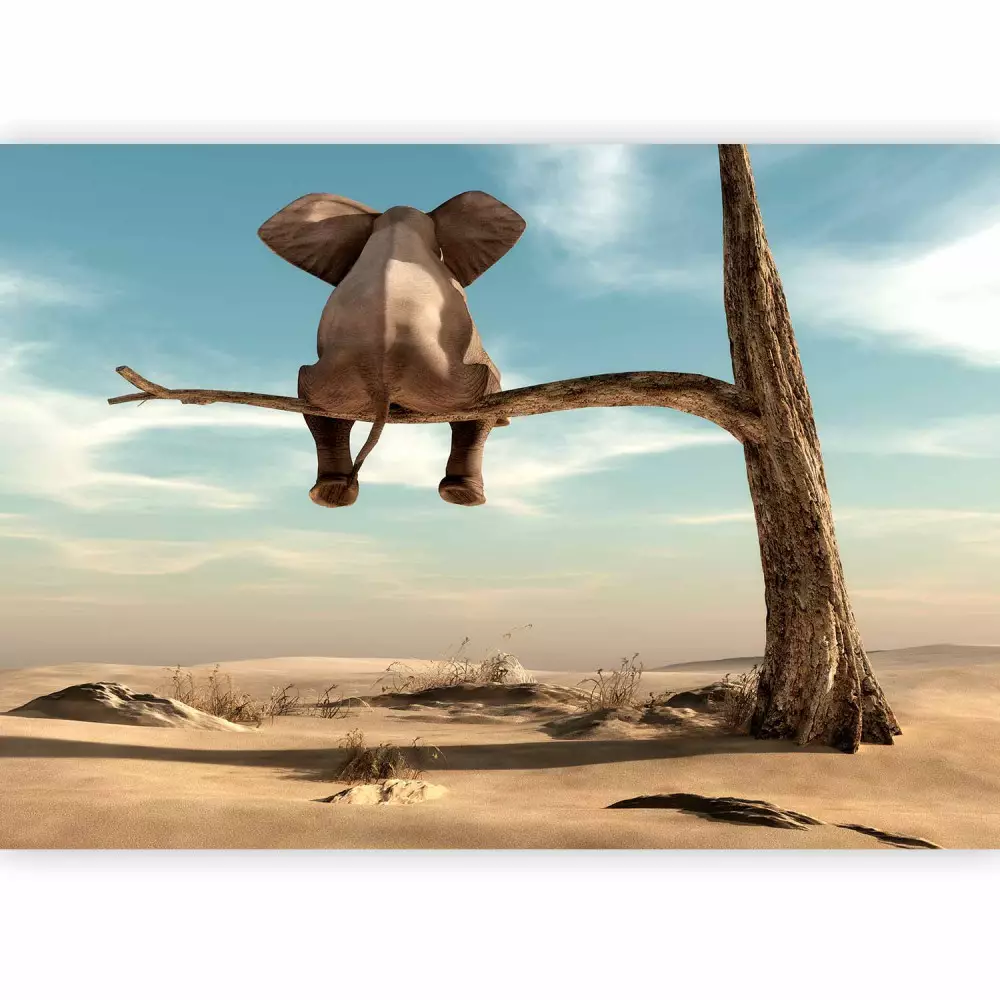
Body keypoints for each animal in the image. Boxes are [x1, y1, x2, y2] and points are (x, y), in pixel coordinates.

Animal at [257, 190, 526, 508]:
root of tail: (381, 380)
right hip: (444, 378)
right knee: (480, 396)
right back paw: (463, 494)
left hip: (333, 380)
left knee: (318, 405)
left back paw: (331, 492)